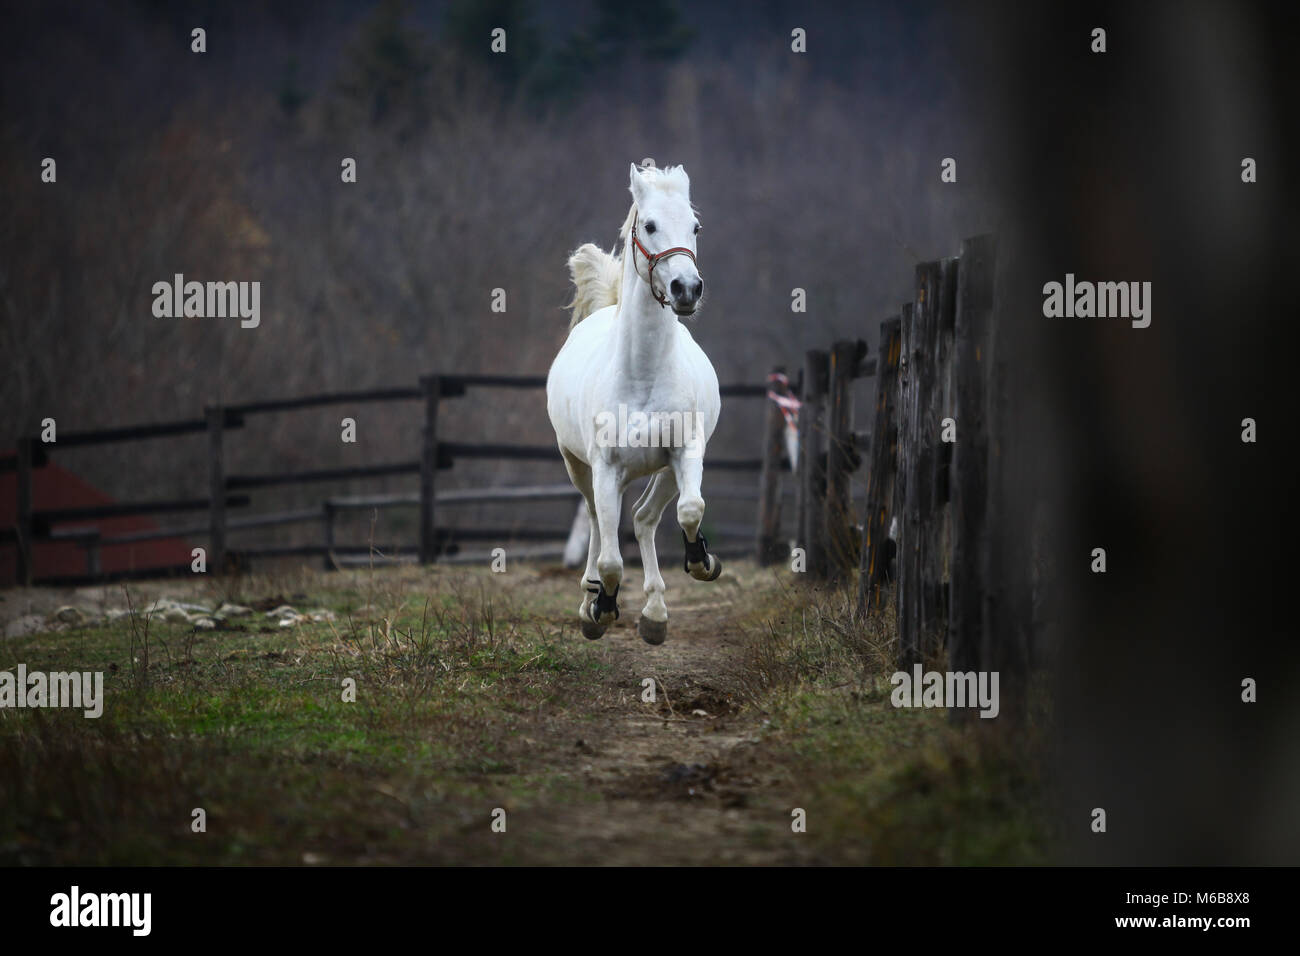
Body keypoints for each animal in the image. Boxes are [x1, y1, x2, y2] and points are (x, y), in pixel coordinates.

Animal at [546, 163, 723, 645]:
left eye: (695, 227)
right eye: (649, 225)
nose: (687, 289)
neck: (642, 373)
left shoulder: (686, 452)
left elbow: (690, 509)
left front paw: (702, 562)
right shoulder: (606, 469)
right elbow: (610, 559)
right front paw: (602, 608)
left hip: (663, 471)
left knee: (645, 517)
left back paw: (655, 613)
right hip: (580, 467)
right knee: (595, 521)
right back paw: (591, 600)